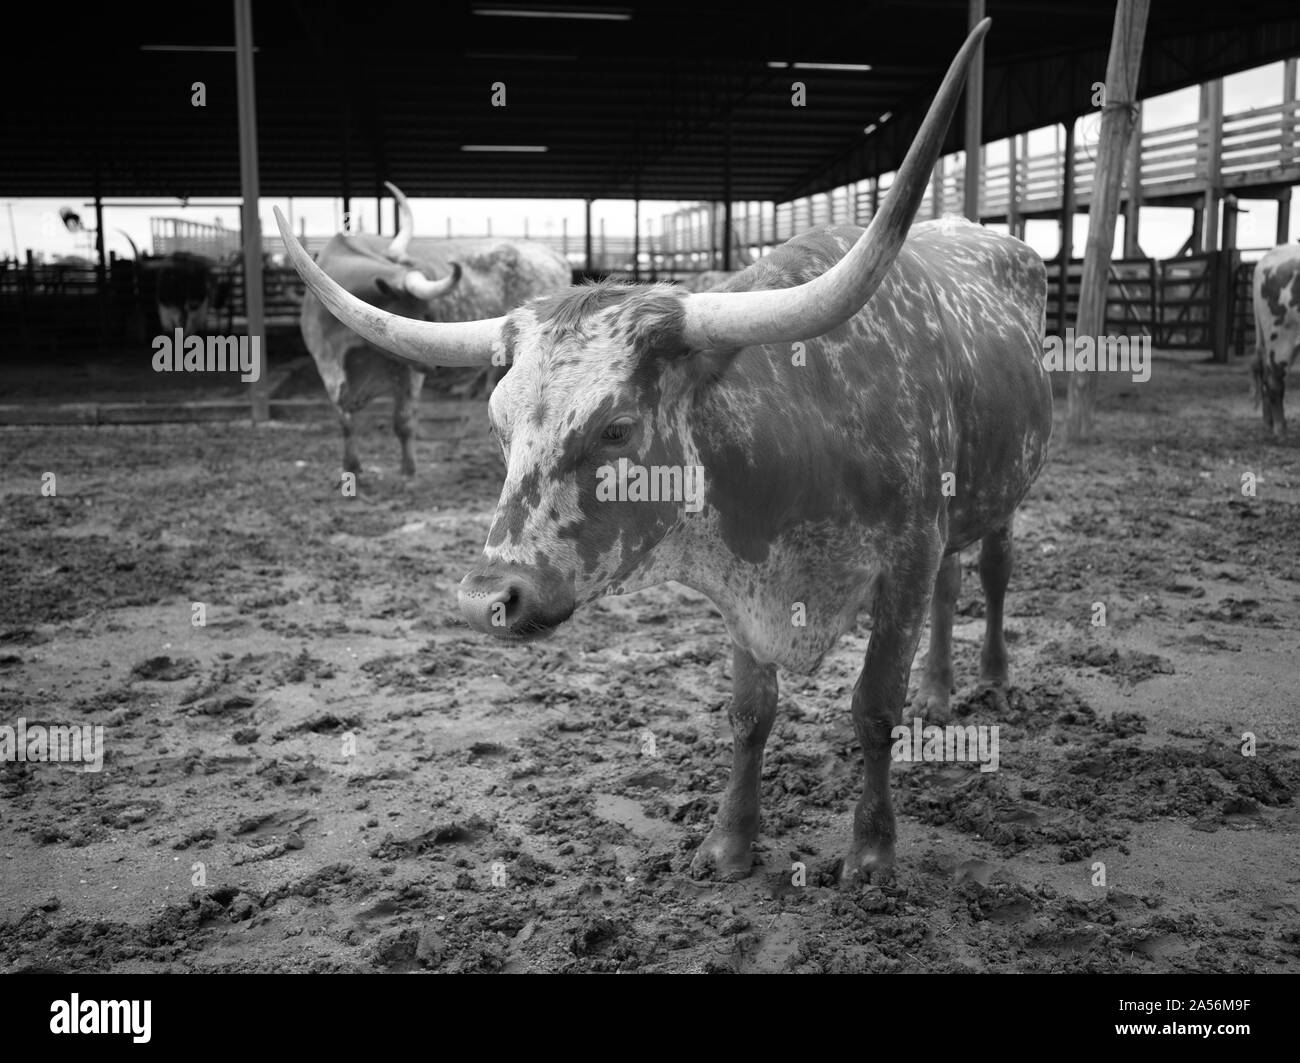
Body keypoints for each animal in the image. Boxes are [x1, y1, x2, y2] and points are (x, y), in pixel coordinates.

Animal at [301, 183, 572, 476]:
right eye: (426, 313)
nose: (438, 364)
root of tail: (554, 256)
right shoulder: (327, 363)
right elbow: (345, 419)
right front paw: (352, 467)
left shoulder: (408, 369)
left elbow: (403, 419)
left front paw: (409, 470)